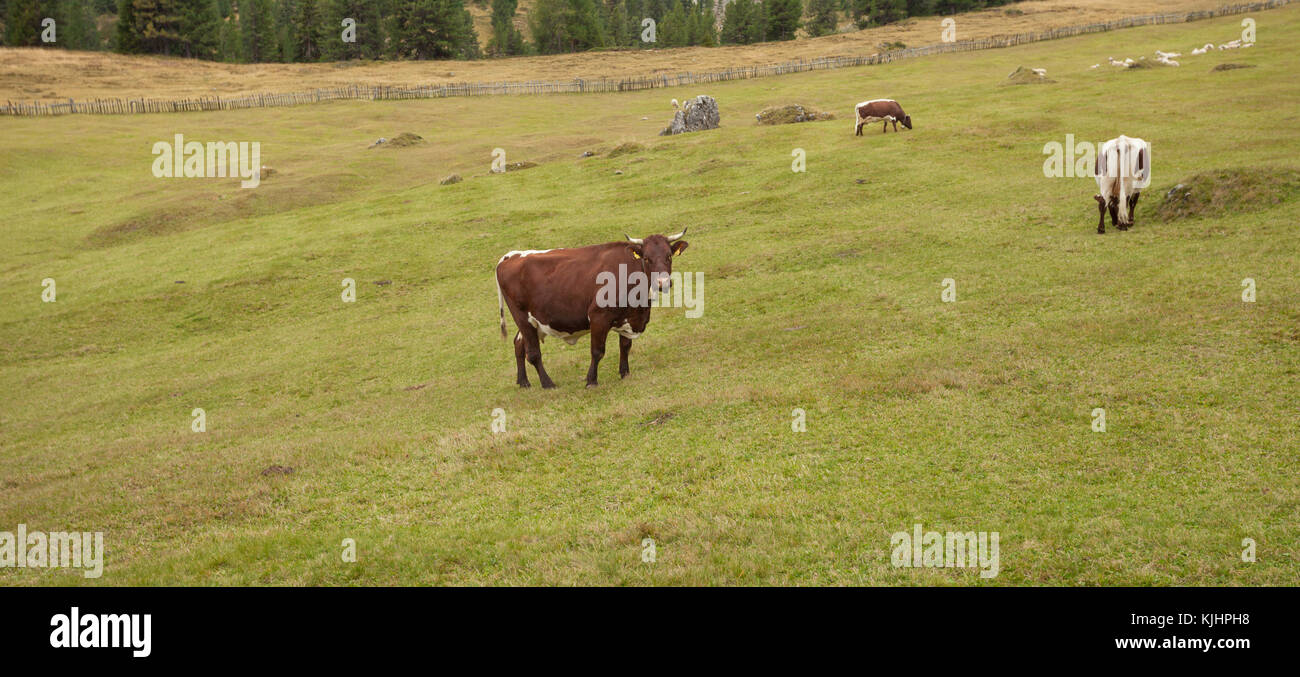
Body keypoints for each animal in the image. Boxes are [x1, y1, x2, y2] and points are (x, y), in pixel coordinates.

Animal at [495, 229, 689, 389]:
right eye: (647, 258)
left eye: (669, 256)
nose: (663, 283)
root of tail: (510, 256)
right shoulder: (599, 317)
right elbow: (597, 351)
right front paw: (591, 381)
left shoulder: (628, 317)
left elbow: (625, 346)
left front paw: (625, 373)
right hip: (522, 317)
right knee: (534, 353)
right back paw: (548, 384)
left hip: (533, 321)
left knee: (519, 344)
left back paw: (523, 382)